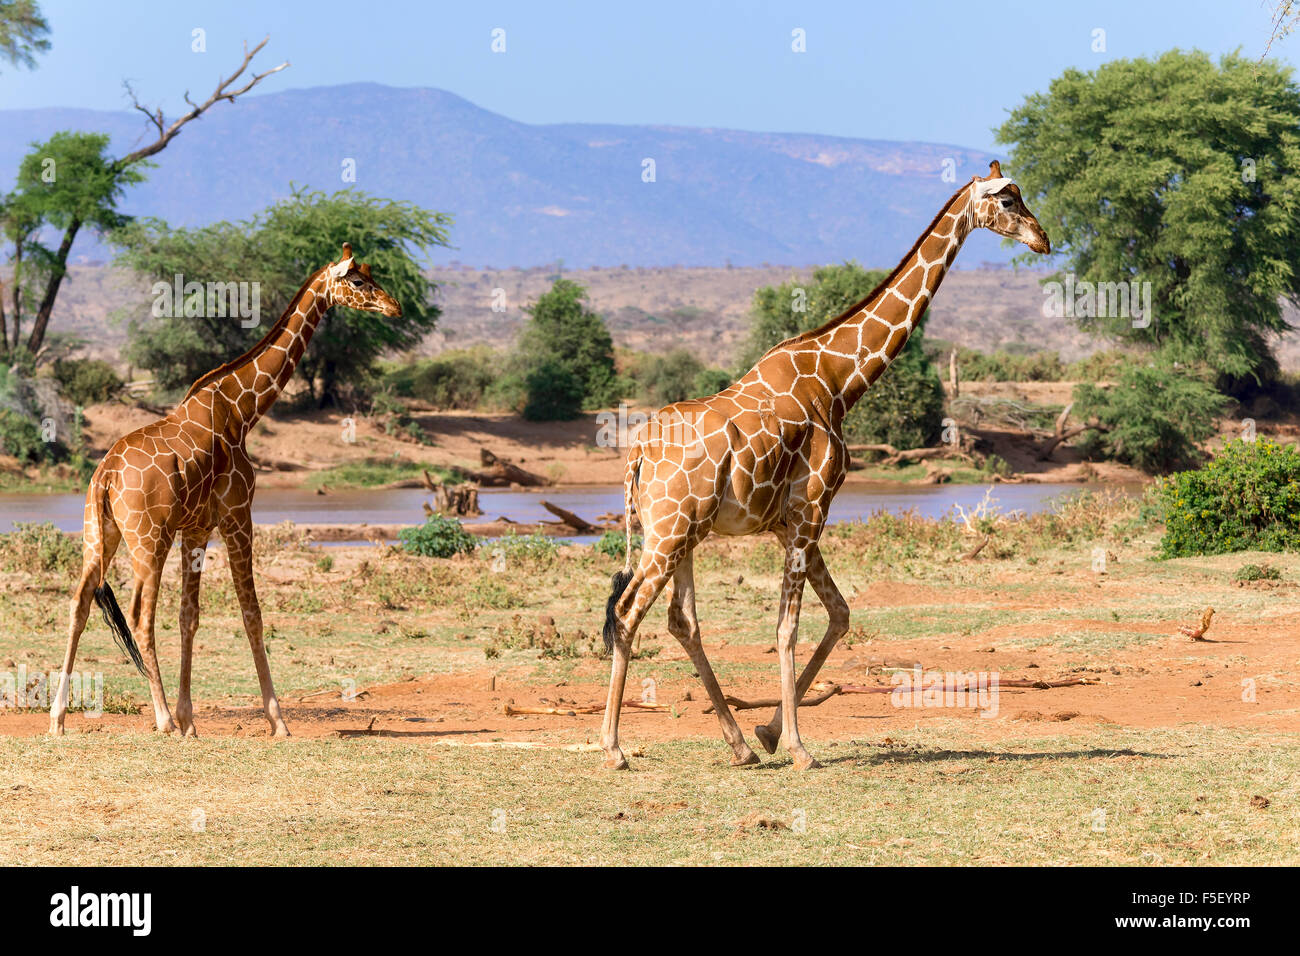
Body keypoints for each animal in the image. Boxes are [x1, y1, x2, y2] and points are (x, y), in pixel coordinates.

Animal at [49, 244, 402, 738]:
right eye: (357, 280)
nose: (395, 306)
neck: (244, 410)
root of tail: (106, 475)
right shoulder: (238, 516)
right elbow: (252, 614)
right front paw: (277, 721)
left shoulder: (197, 528)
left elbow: (190, 617)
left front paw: (191, 721)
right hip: (148, 538)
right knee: (139, 614)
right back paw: (161, 720)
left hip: (99, 534)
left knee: (79, 602)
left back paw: (58, 718)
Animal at [600, 162, 1049, 770]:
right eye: (1007, 199)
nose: (1042, 239)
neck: (840, 381)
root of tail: (639, 451)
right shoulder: (812, 509)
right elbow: (788, 627)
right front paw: (797, 746)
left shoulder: (789, 523)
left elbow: (840, 614)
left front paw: (768, 733)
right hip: (670, 533)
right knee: (627, 613)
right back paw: (614, 748)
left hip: (681, 533)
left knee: (680, 620)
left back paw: (739, 746)